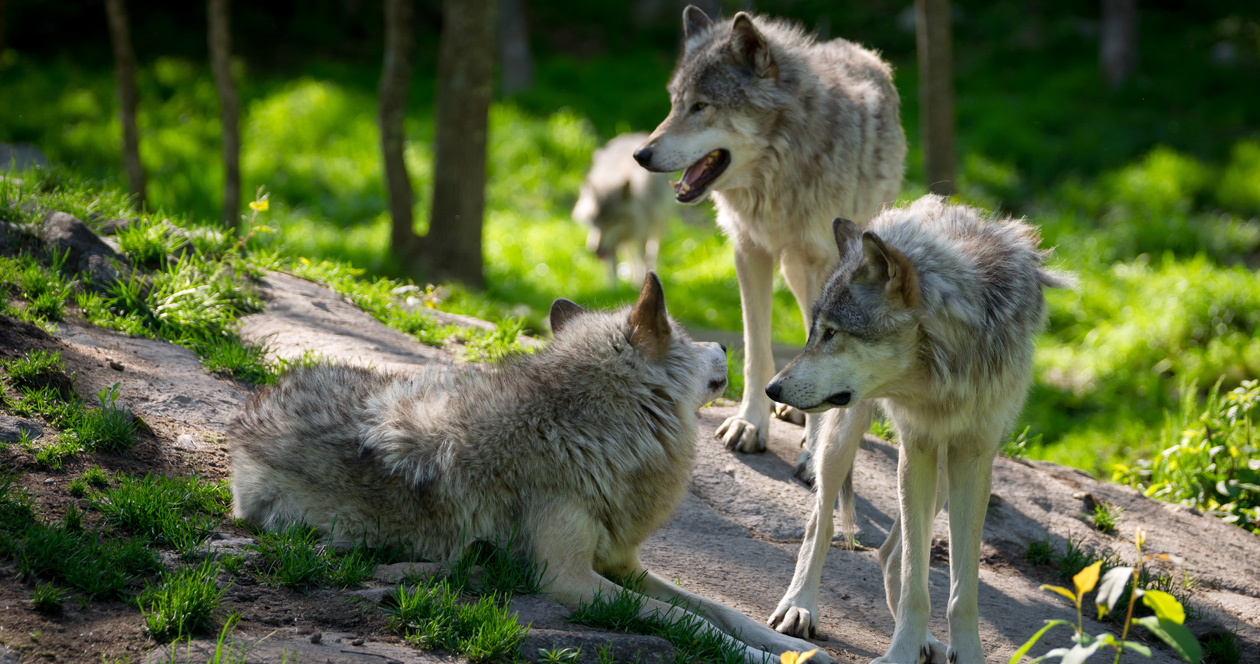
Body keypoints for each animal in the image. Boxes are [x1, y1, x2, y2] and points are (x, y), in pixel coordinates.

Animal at [230, 274, 830, 664]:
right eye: (683, 335)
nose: (725, 347)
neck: (583, 430)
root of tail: (251, 409)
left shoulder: (624, 564)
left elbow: (724, 610)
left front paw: (792, 646)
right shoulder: (569, 580)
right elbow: (692, 621)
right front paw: (755, 656)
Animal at [573, 133, 674, 285]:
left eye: (610, 219)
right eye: (594, 220)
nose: (595, 250)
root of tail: (633, 134)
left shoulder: (642, 233)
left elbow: (643, 258)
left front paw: (640, 281)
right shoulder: (614, 241)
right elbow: (612, 267)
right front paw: (612, 287)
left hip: (657, 228)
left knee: (652, 253)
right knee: (631, 254)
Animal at [634, 6, 906, 480]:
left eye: (701, 106)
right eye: (674, 104)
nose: (641, 155)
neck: (779, 176)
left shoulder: (823, 264)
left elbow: (822, 345)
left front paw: (813, 452)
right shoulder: (749, 251)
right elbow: (757, 349)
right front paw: (750, 423)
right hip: (793, 271)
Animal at [763, 196, 1071, 664]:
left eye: (833, 333)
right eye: (815, 334)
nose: (772, 388)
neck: (945, 367)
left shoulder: (973, 456)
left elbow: (962, 588)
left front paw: (965, 652)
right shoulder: (917, 447)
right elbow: (915, 582)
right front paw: (900, 653)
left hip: (945, 470)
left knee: (890, 554)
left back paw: (927, 639)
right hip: (845, 438)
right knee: (823, 523)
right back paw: (799, 607)